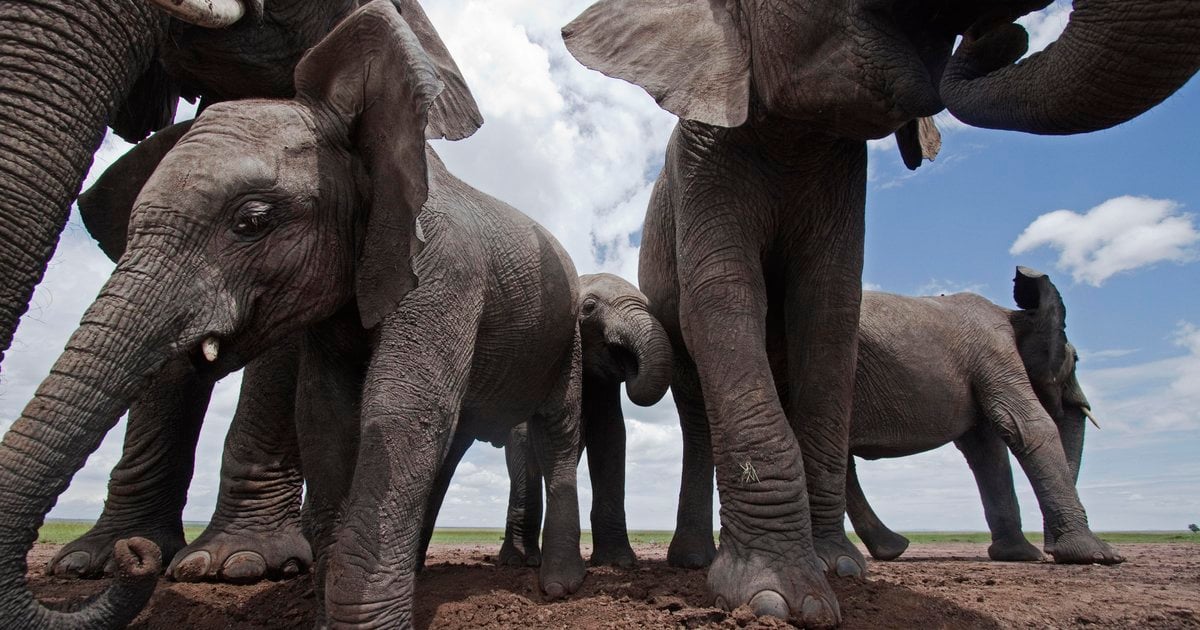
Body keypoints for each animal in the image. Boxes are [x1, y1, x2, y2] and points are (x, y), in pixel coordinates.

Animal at [0, 2, 590, 627]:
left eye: (253, 221)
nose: (133, 556)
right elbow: (325, 417)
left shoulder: (446, 271)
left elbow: (400, 411)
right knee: (451, 444)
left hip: (566, 336)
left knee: (556, 431)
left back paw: (558, 585)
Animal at [846, 268, 1103, 564]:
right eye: (1077, 360)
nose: (1050, 552)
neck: (1015, 313)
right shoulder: (995, 354)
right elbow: (1028, 425)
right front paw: (1097, 555)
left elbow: (987, 449)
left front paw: (1018, 555)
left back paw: (890, 549)